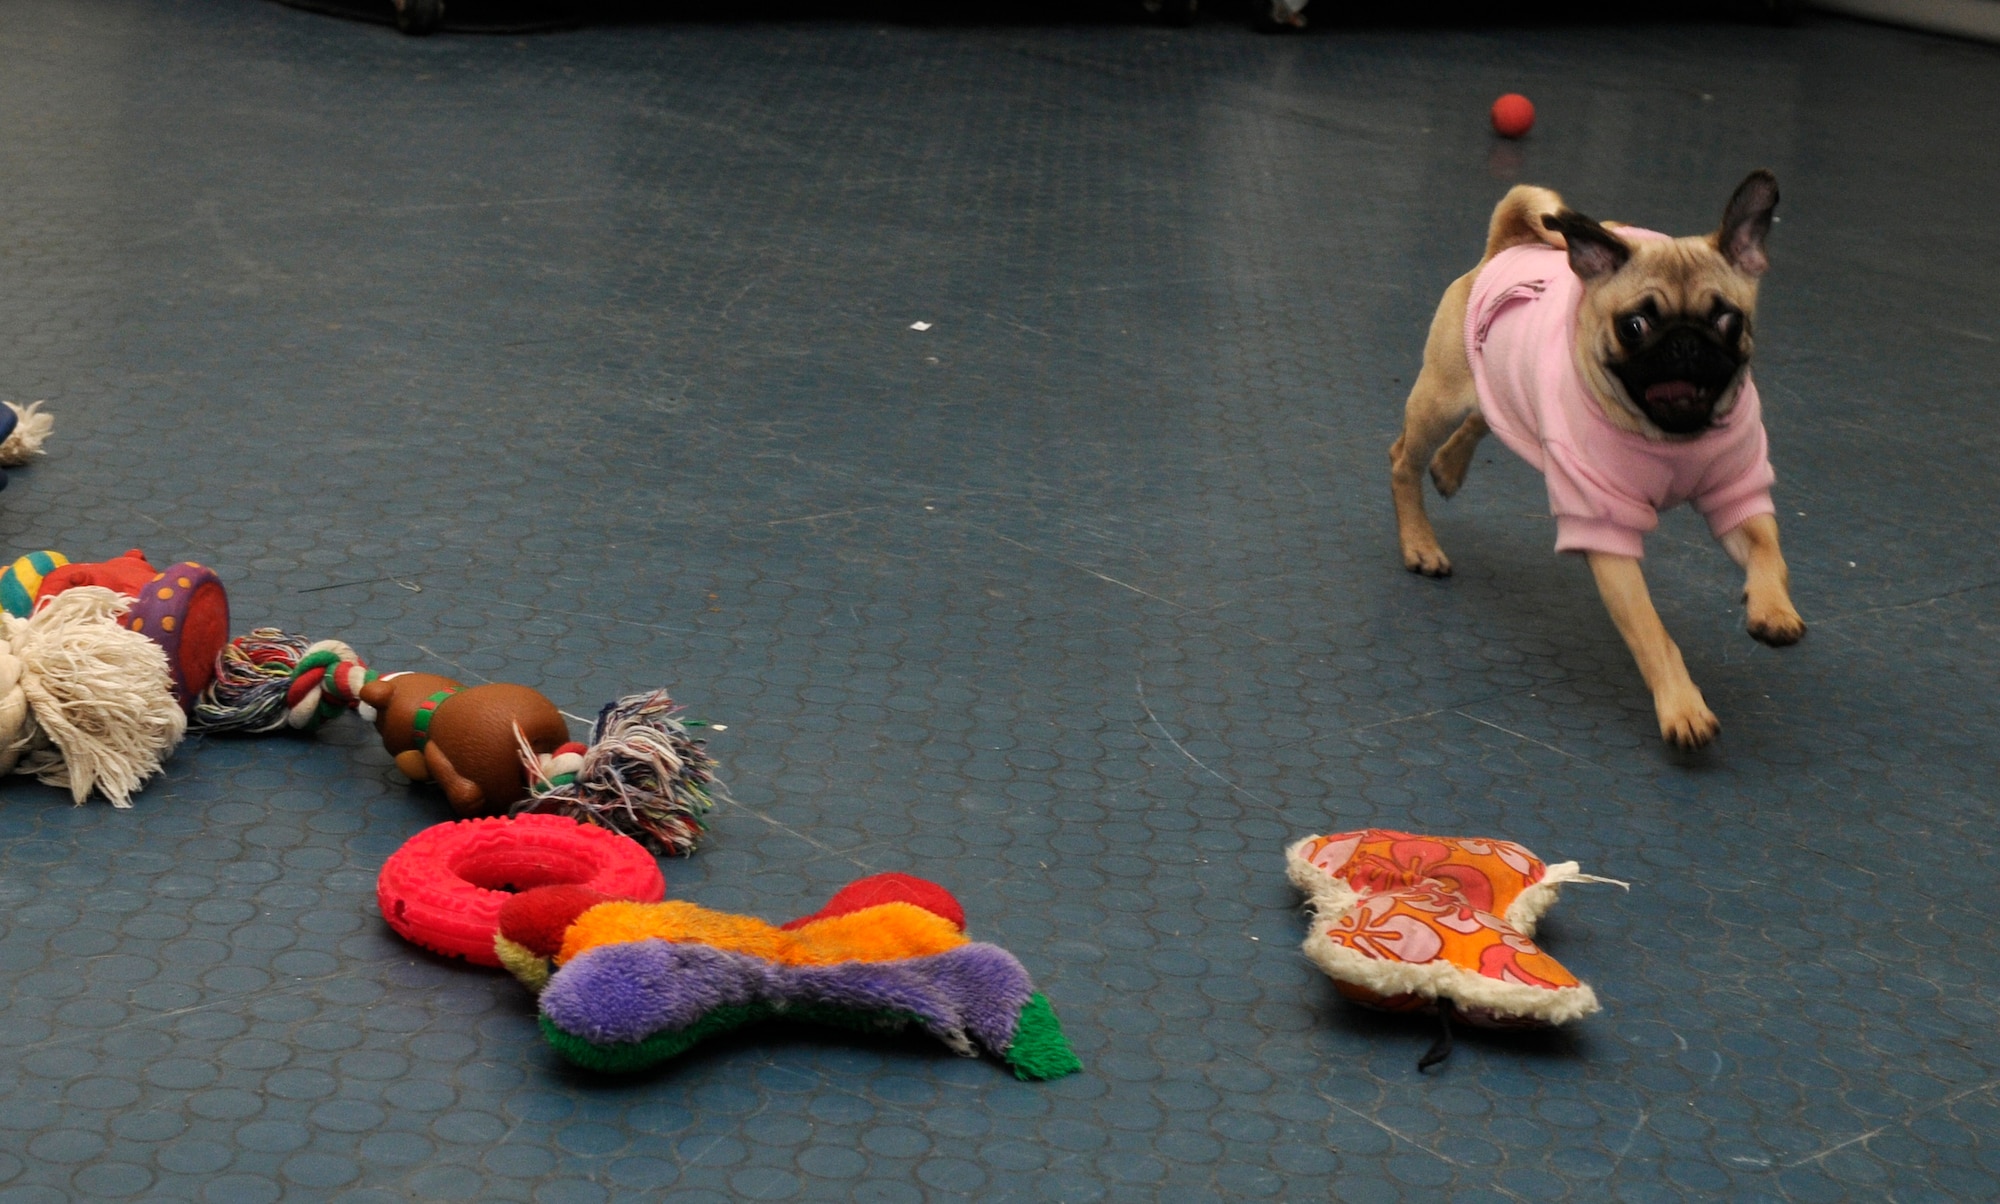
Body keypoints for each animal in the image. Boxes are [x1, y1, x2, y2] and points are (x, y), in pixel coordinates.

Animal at [1392, 172, 1800, 744]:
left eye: (1727, 319)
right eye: (1634, 326)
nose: (1685, 343)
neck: (1669, 435)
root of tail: (1503, 247)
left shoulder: (1737, 493)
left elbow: (1769, 554)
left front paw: (1772, 609)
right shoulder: (1605, 533)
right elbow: (1652, 632)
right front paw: (1681, 706)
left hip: (1498, 389)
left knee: (1485, 419)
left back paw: (1450, 469)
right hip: (1438, 402)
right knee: (1402, 460)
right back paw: (1420, 544)